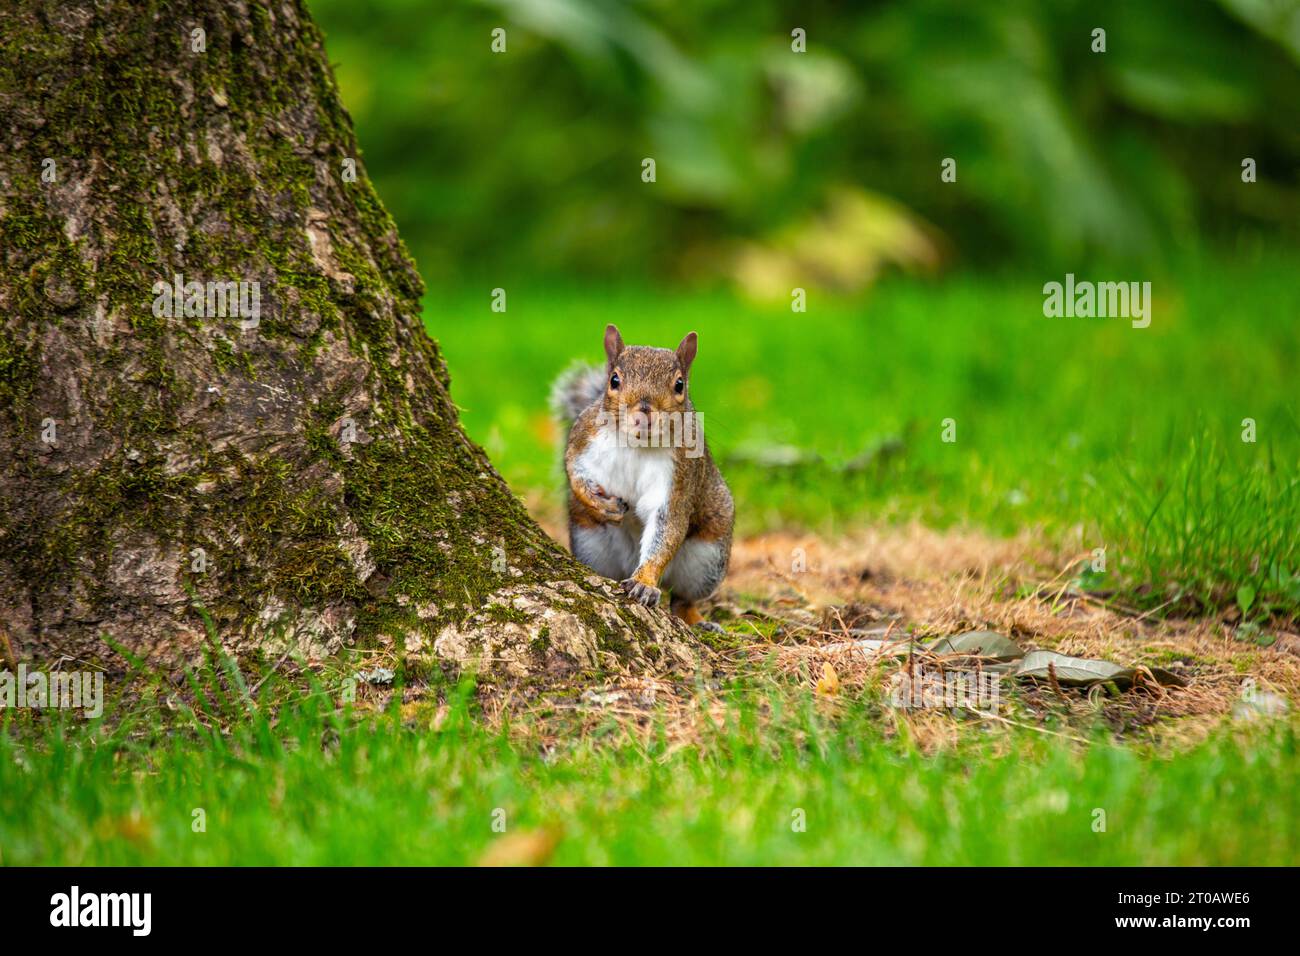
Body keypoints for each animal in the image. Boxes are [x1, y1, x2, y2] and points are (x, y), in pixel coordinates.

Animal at [551, 325, 733, 631]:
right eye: (614, 380)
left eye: (679, 385)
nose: (643, 414)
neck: (637, 444)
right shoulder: (582, 438)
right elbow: (574, 473)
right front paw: (598, 503)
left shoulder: (679, 480)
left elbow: (666, 528)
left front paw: (645, 582)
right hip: (590, 544)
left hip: (708, 556)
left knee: (683, 599)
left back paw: (698, 620)